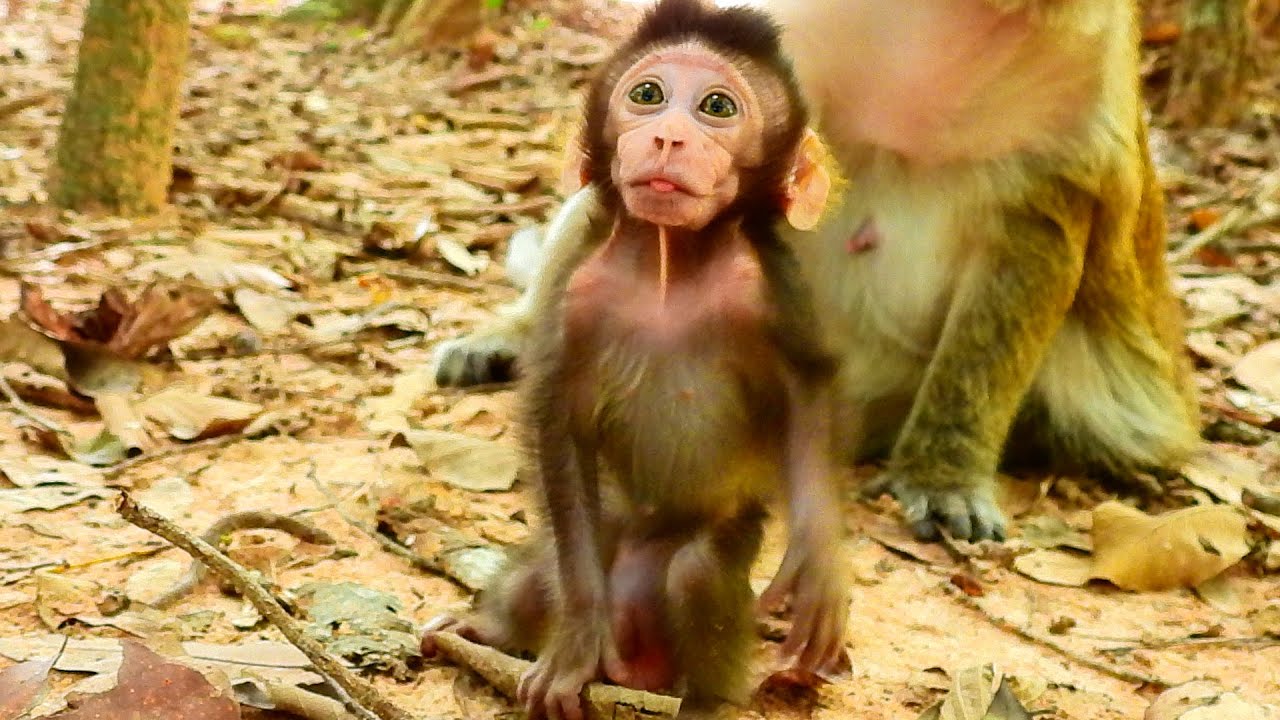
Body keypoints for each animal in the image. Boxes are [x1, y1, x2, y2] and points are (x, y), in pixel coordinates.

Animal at [422, 1, 848, 717]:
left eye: (715, 106)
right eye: (647, 95)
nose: (668, 138)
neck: (667, 264)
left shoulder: (774, 285)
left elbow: (808, 398)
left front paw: (819, 560)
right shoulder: (576, 289)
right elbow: (557, 425)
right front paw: (573, 645)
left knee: (697, 571)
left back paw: (706, 700)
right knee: (548, 565)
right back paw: (491, 628)